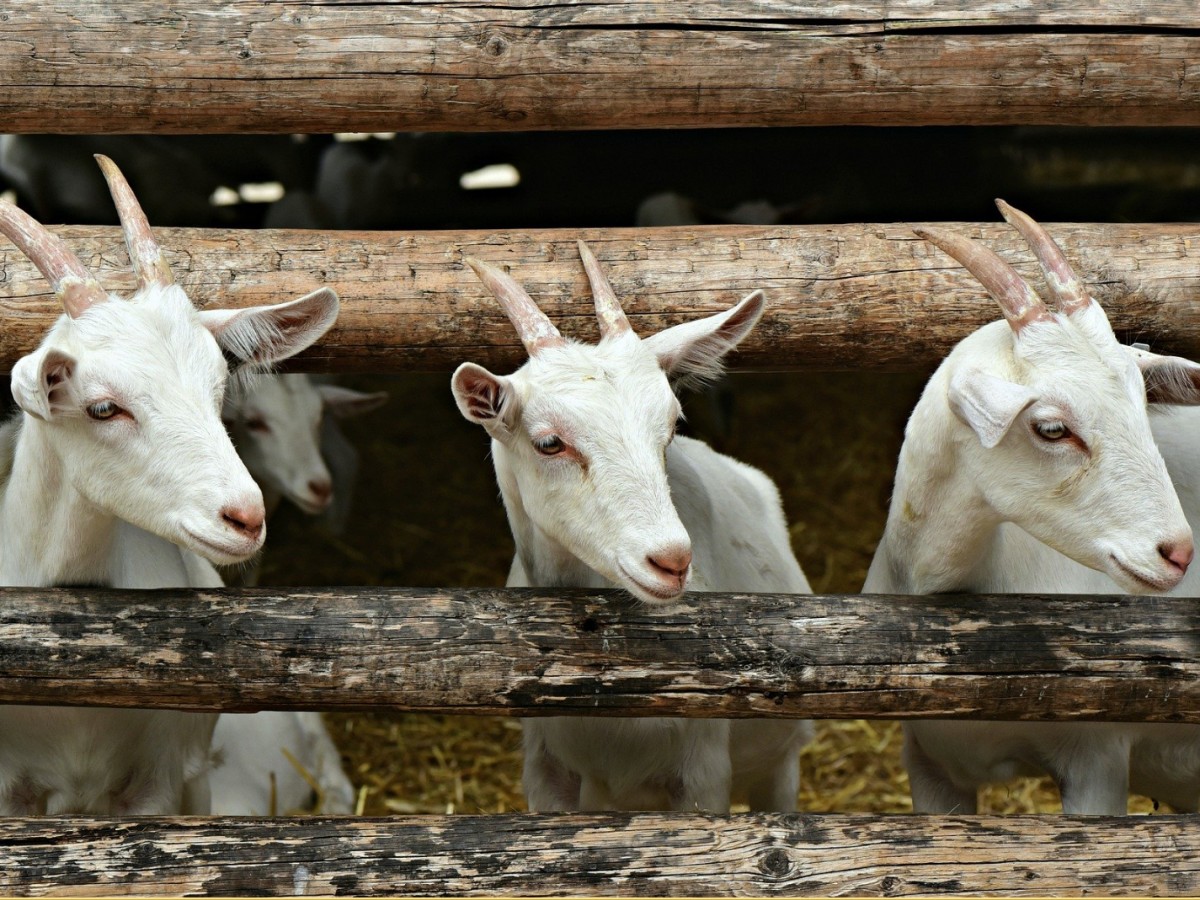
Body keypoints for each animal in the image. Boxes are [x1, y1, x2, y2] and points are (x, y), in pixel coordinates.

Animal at [452, 242, 813, 813]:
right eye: (549, 442)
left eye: (672, 423)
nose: (671, 560)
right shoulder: (546, 769)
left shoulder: (703, 773)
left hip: (780, 761)